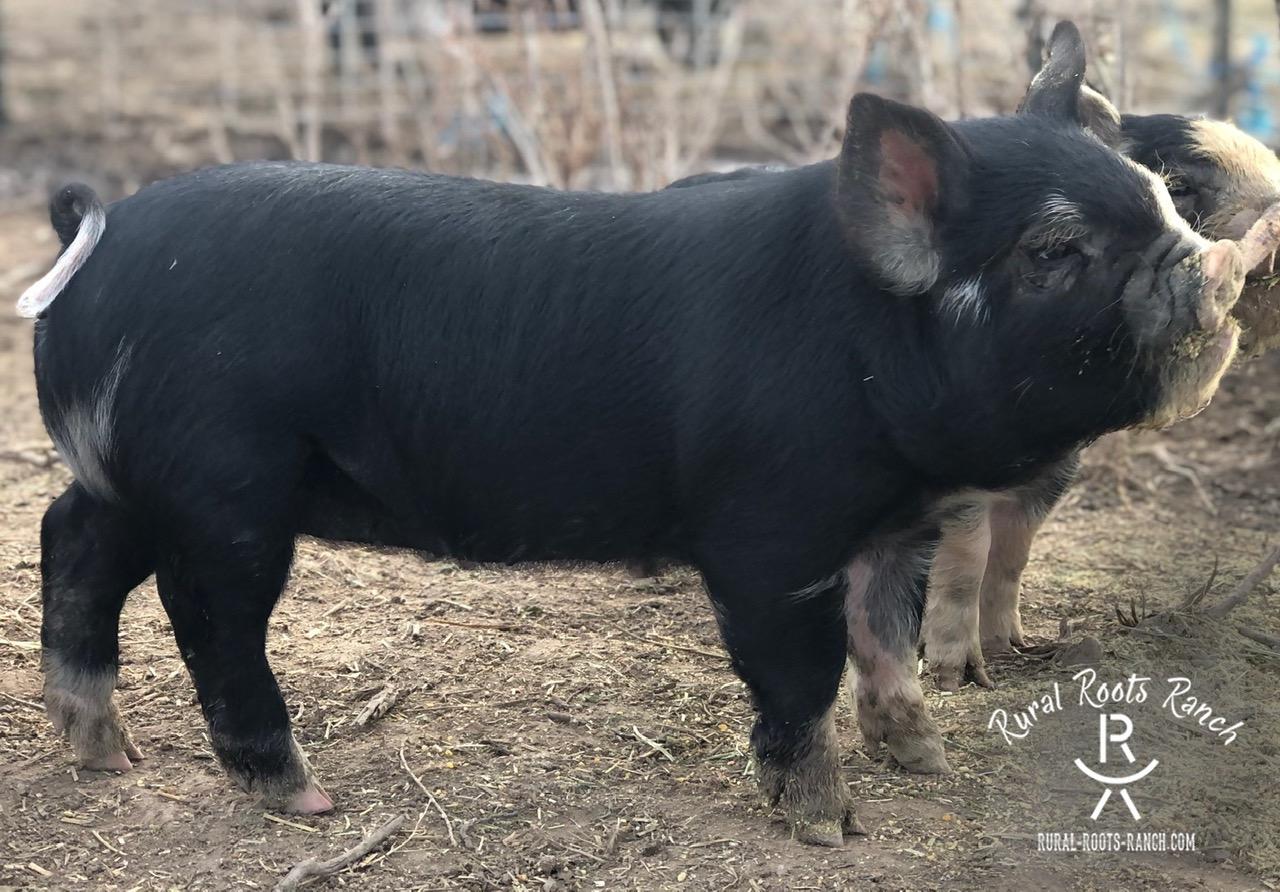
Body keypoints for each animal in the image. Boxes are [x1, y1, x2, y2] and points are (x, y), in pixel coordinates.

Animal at [23, 52, 1243, 845]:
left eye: (1160, 199)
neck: (862, 349)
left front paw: (924, 757)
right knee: (209, 619)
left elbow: (885, 643)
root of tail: (102, 240)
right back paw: (302, 798)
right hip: (225, 481)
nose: (1210, 271)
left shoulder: (893, 528)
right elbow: (799, 672)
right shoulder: (768, 533)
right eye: (1052, 250)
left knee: (71, 539)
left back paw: (105, 754)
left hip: (132, 471)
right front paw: (831, 826)